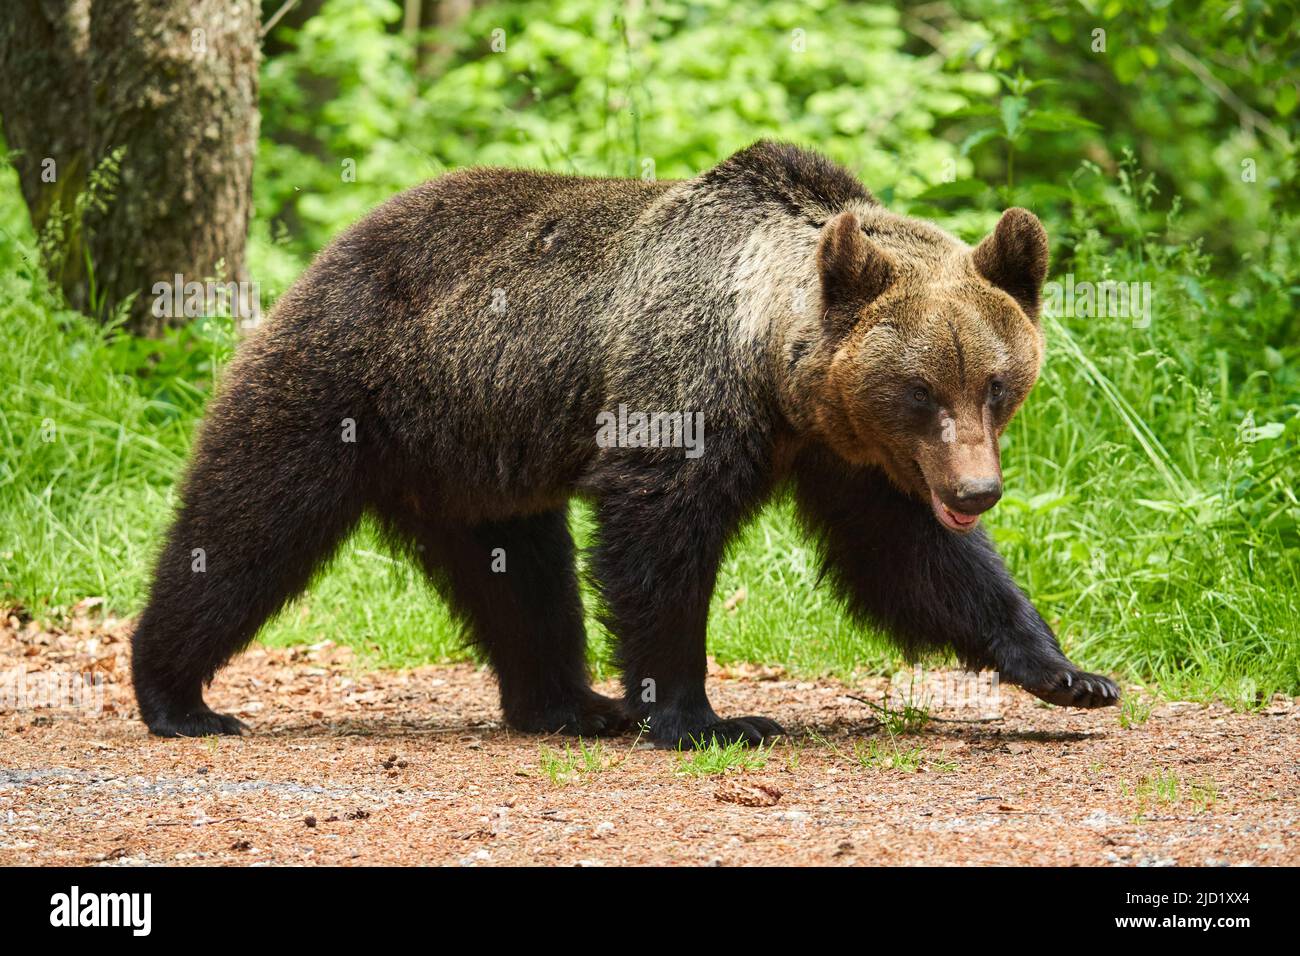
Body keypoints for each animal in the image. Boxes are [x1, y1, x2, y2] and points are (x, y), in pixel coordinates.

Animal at [131, 140, 1119, 747]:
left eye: (997, 383)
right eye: (920, 389)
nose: (977, 492)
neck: (777, 374)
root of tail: (331, 248)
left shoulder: (846, 455)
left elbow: (908, 558)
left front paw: (1068, 672)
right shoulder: (683, 394)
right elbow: (661, 541)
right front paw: (705, 716)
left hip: (475, 457)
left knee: (521, 580)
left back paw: (569, 704)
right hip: (342, 389)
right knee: (246, 528)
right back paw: (177, 695)